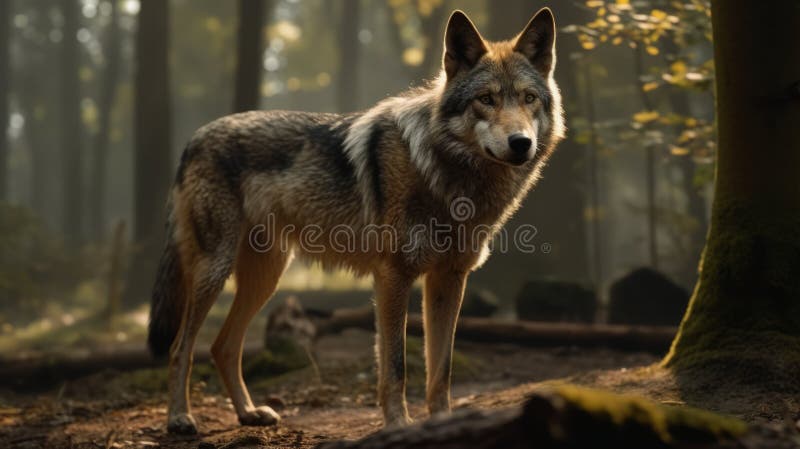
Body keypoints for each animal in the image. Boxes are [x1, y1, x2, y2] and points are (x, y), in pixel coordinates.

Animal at [148, 8, 564, 434]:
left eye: (529, 98)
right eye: (486, 99)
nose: (521, 143)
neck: (445, 175)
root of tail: (195, 138)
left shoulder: (449, 279)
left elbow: (441, 370)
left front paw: (445, 423)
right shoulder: (393, 277)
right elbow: (395, 366)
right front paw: (399, 425)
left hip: (265, 278)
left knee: (223, 346)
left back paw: (249, 413)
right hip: (215, 271)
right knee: (181, 348)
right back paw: (180, 417)